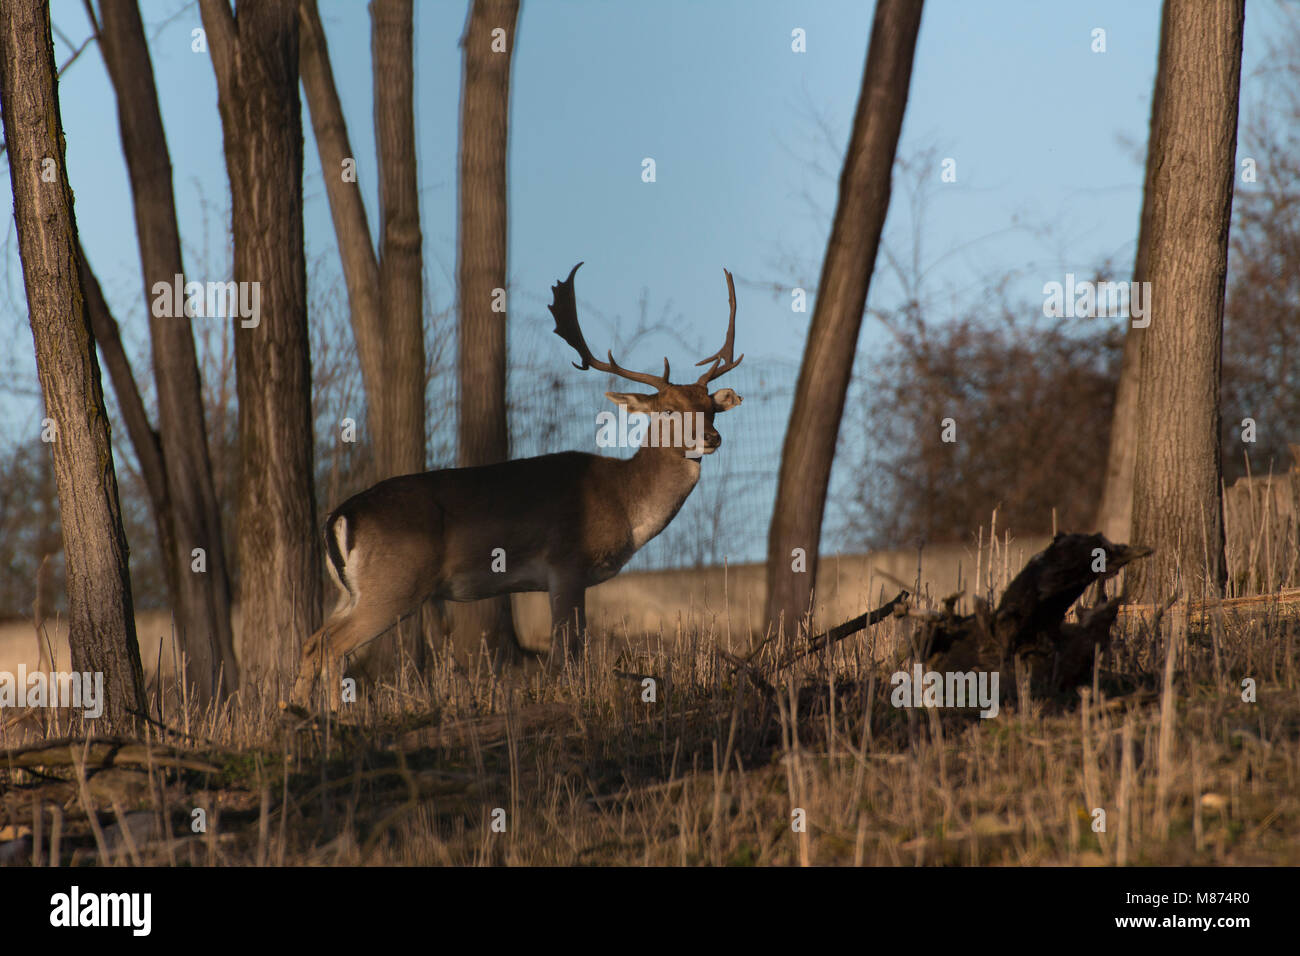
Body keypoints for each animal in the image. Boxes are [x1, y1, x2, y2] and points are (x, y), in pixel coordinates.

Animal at [288, 263, 743, 707]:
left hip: (352, 590)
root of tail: (340, 515)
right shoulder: (566, 562)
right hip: (395, 583)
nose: (712, 438)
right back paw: (335, 717)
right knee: (332, 645)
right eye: (667, 410)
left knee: (312, 642)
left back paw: (294, 712)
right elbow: (568, 652)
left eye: (710, 409)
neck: (624, 503)